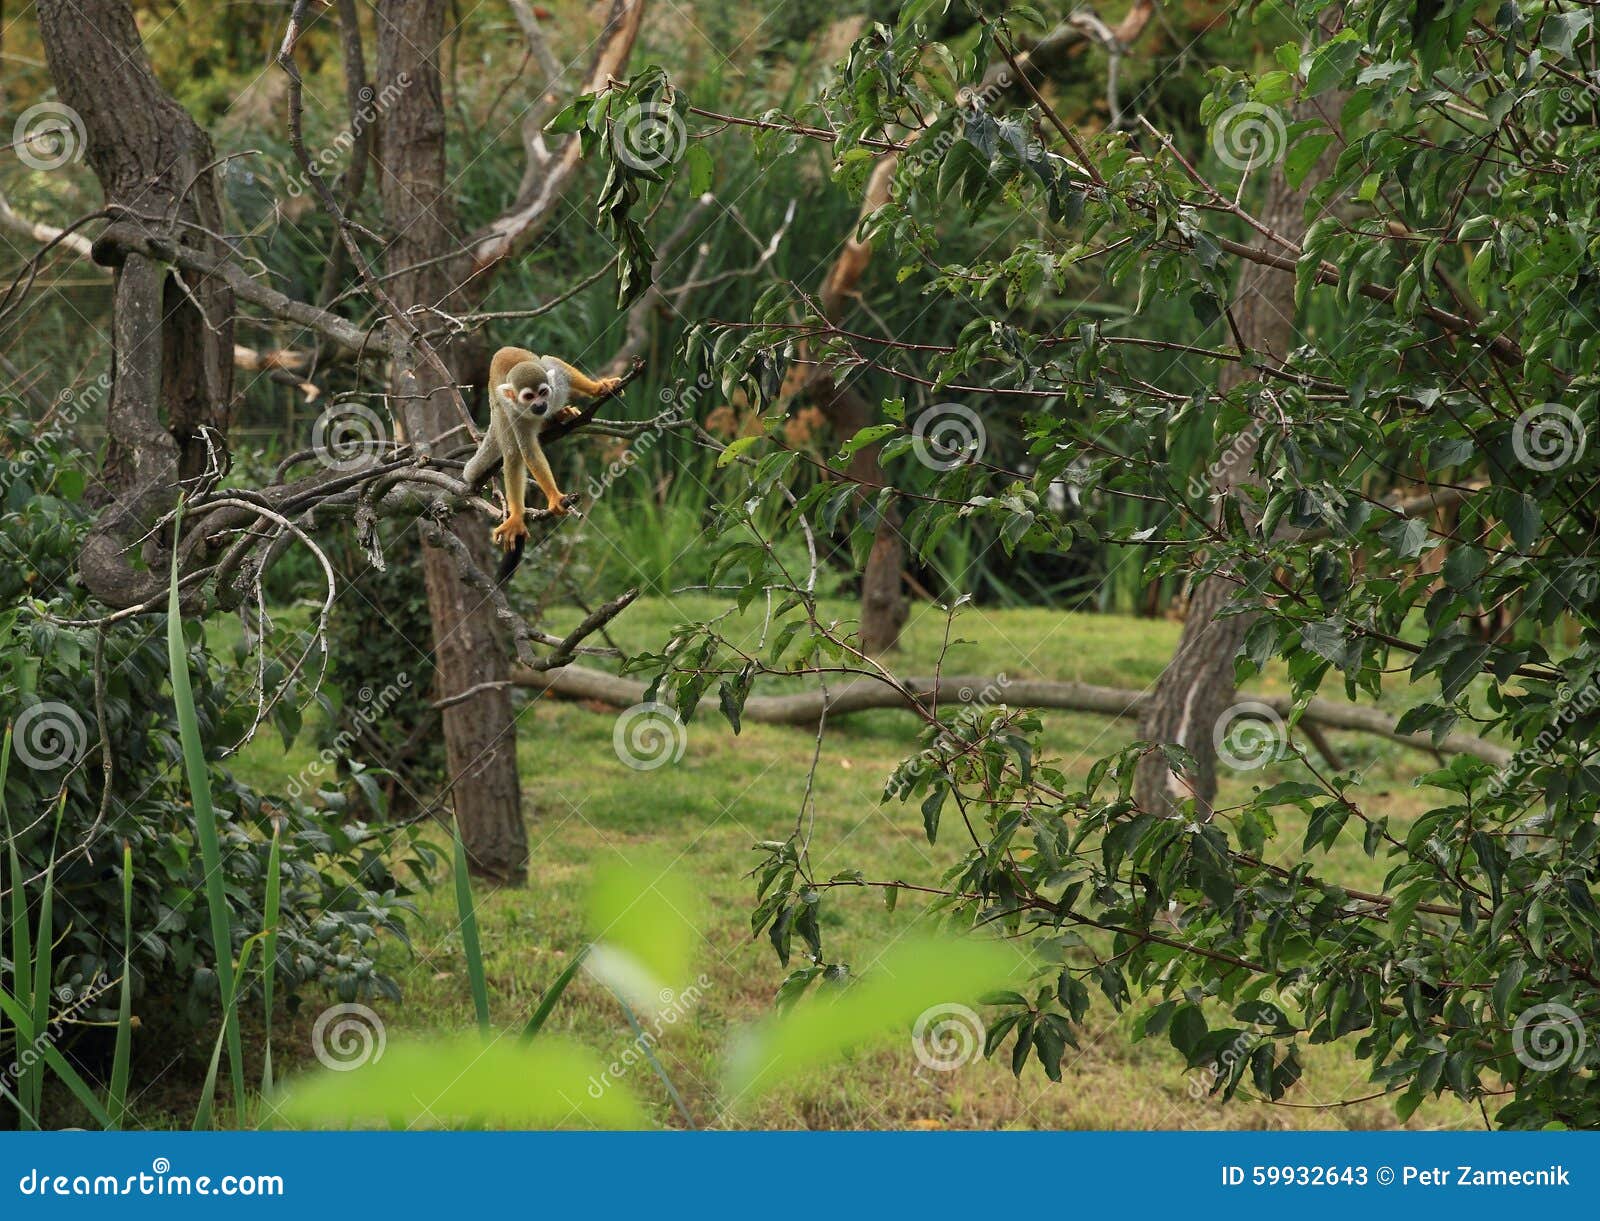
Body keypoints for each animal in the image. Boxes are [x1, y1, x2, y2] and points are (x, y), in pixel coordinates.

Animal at [462, 346, 623, 583]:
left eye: (543, 392)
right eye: (529, 397)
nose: (540, 405)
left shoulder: (556, 387)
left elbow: (556, 366)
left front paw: (599, 387)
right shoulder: (516, 414)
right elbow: (528, 453)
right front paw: (553, 496)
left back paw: (558, 416)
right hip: (500, 410)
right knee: (512, 453)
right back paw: (516, 514)